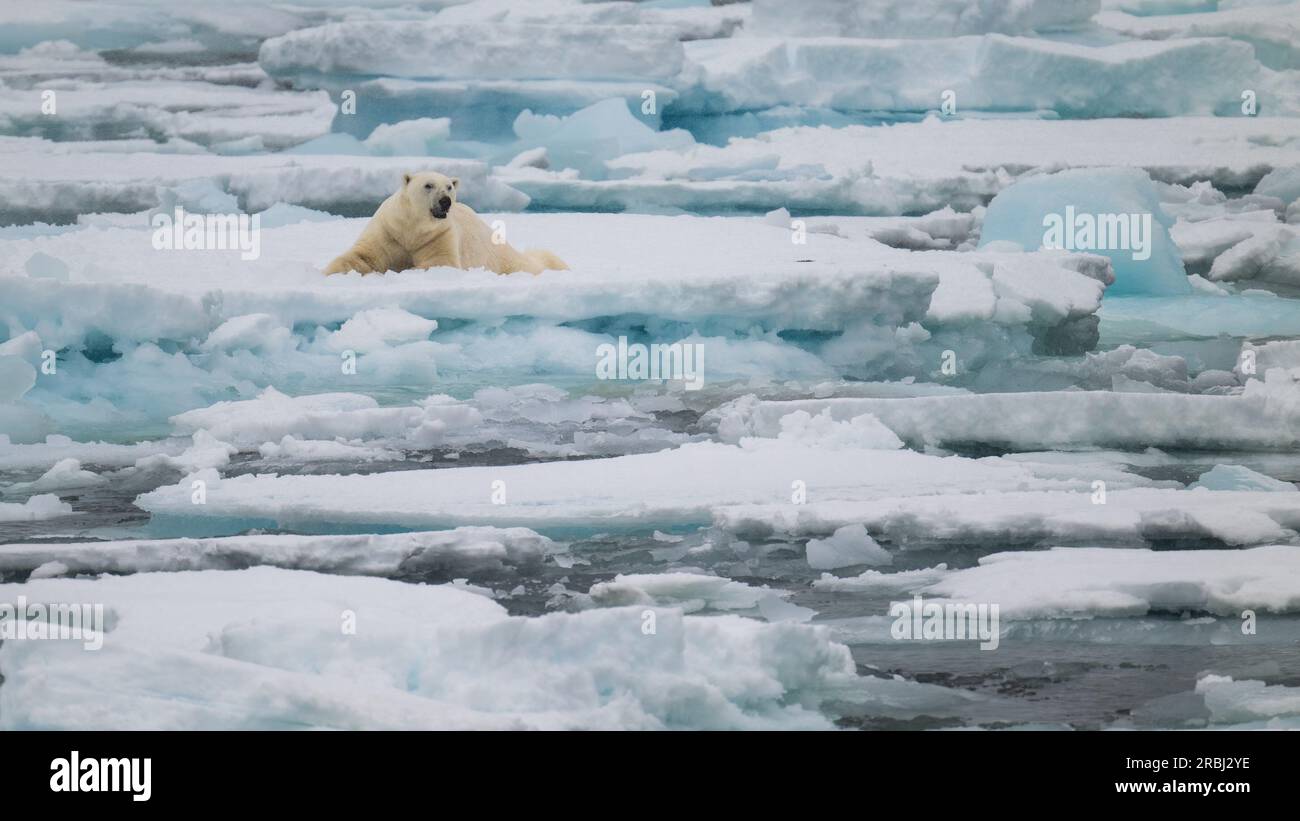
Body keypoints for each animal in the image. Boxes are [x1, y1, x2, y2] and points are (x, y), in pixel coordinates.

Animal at [323, 171, 567, 276]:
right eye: (428, 185)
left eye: (449, 186)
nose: (445, 201)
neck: (412, 229)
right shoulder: (388, 230)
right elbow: (363, 256)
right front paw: (331, 270)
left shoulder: (440, 235)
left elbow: (439, 262)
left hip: (500, 258)